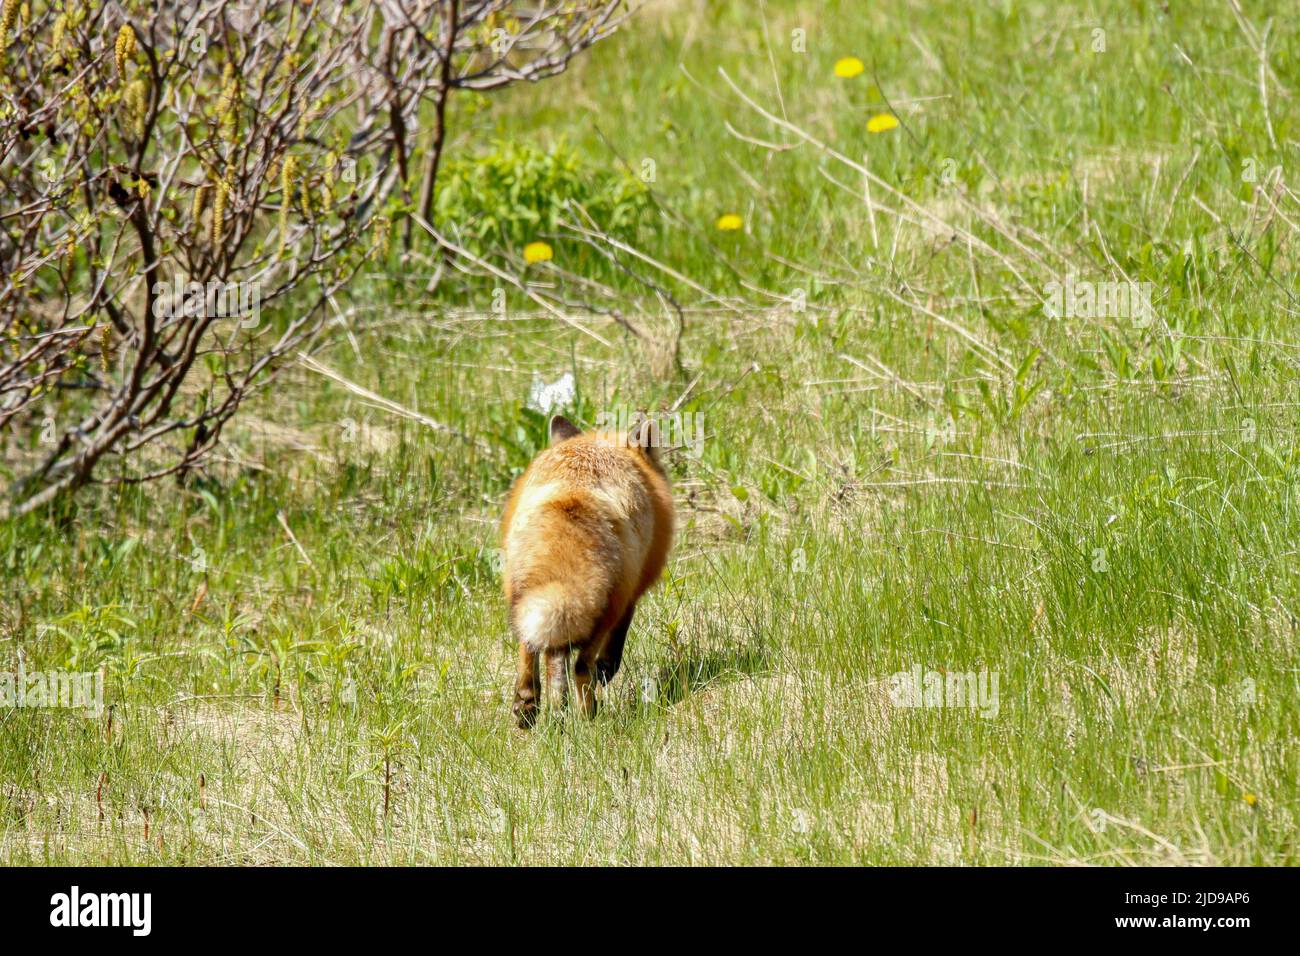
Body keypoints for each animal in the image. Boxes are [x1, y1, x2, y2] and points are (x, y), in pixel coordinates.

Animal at [500, 413, 674, 727]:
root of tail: (570, 495)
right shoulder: (632, 592)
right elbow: (614, 647)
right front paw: (604, 671)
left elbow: (554, 662)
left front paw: (556, 706)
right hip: (607, 606)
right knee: (581, 665)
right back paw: (590, 716)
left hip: (523, 602)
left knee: (531, 650)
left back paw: (532, 707)